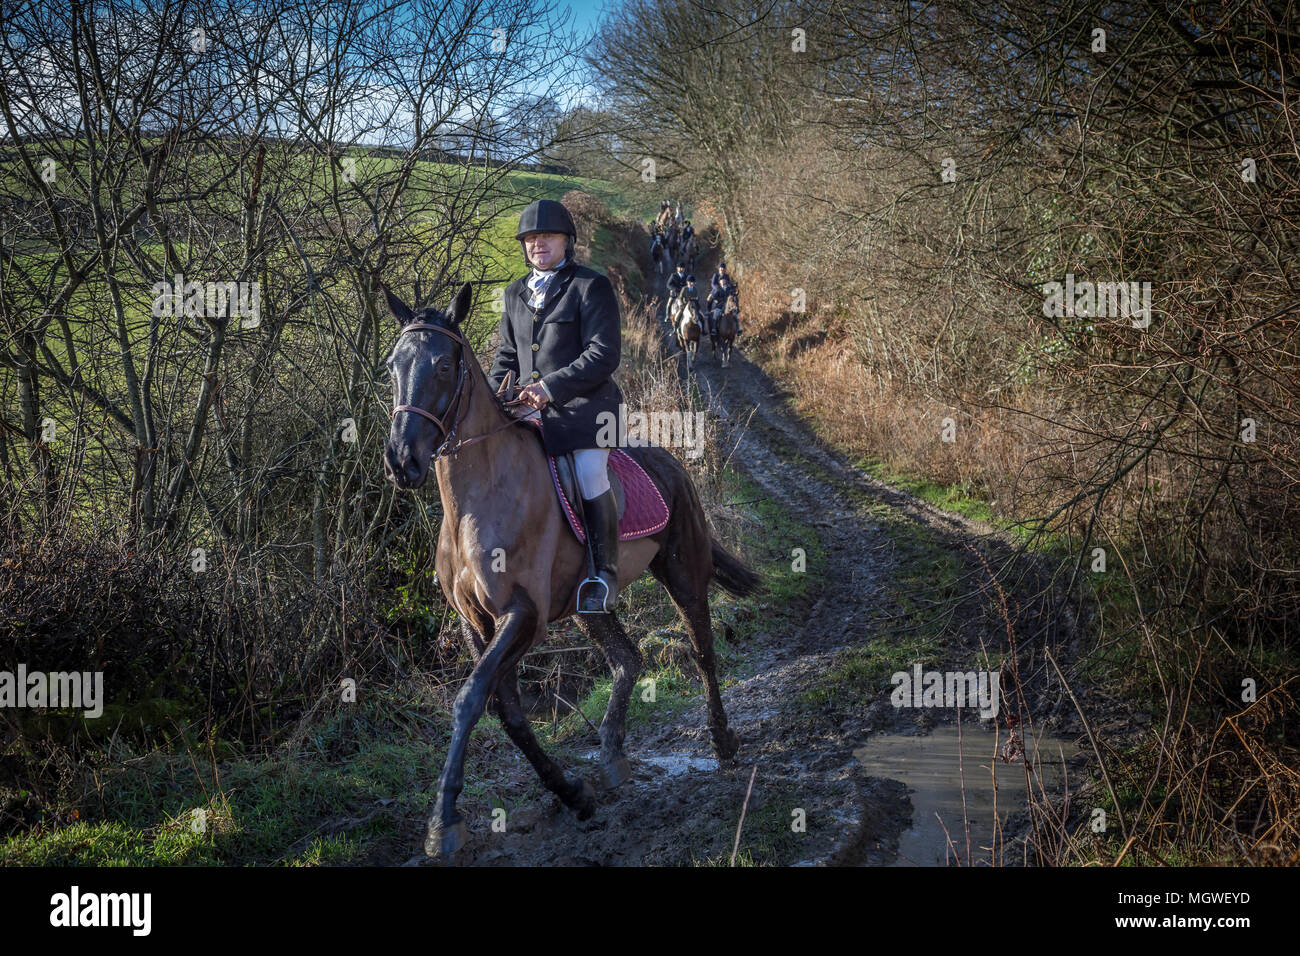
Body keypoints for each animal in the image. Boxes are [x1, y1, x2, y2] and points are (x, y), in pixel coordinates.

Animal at [382, 281, 757, 858]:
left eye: (444, 365)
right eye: (392, 365)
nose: (402, 461)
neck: (474, 502)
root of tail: (671, 463)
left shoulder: (522, 615)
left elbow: (470, 699)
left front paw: (442, 822)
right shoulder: (477, 624)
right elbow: (508, 713)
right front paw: (572, 794)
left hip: (684, 573)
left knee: (703, 650)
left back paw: (722, 741)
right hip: (588, 607)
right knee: (627, 659)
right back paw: (611, 754)